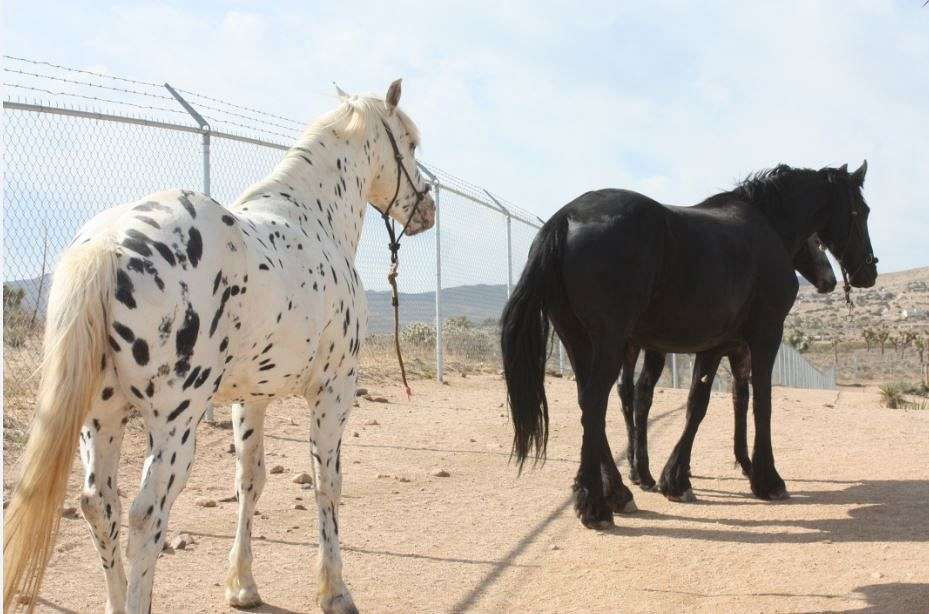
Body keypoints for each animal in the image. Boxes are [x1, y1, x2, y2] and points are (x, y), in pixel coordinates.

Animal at [3, 80, 435, 614]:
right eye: (411, 143)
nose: (427, 210)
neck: (313, 219)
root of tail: (105, 245)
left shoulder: (251, 399)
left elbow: (250, 481)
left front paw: (243, 585)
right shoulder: (333, 390)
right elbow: (326, 485)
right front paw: (334, 590)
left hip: (101, 417)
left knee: (98, 506)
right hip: (174, 420)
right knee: (146, 515)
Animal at [616, 234, 837, 494]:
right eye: (817, 242)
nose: (831, 281)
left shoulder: (739, 355)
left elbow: (739, 399)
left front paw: (745, 464)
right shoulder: (718, 352)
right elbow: (702, 402)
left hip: (631, 346)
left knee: (626, 390)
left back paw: (634, 469)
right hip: (652, 349)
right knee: (642, 392)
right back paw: (643, 473)